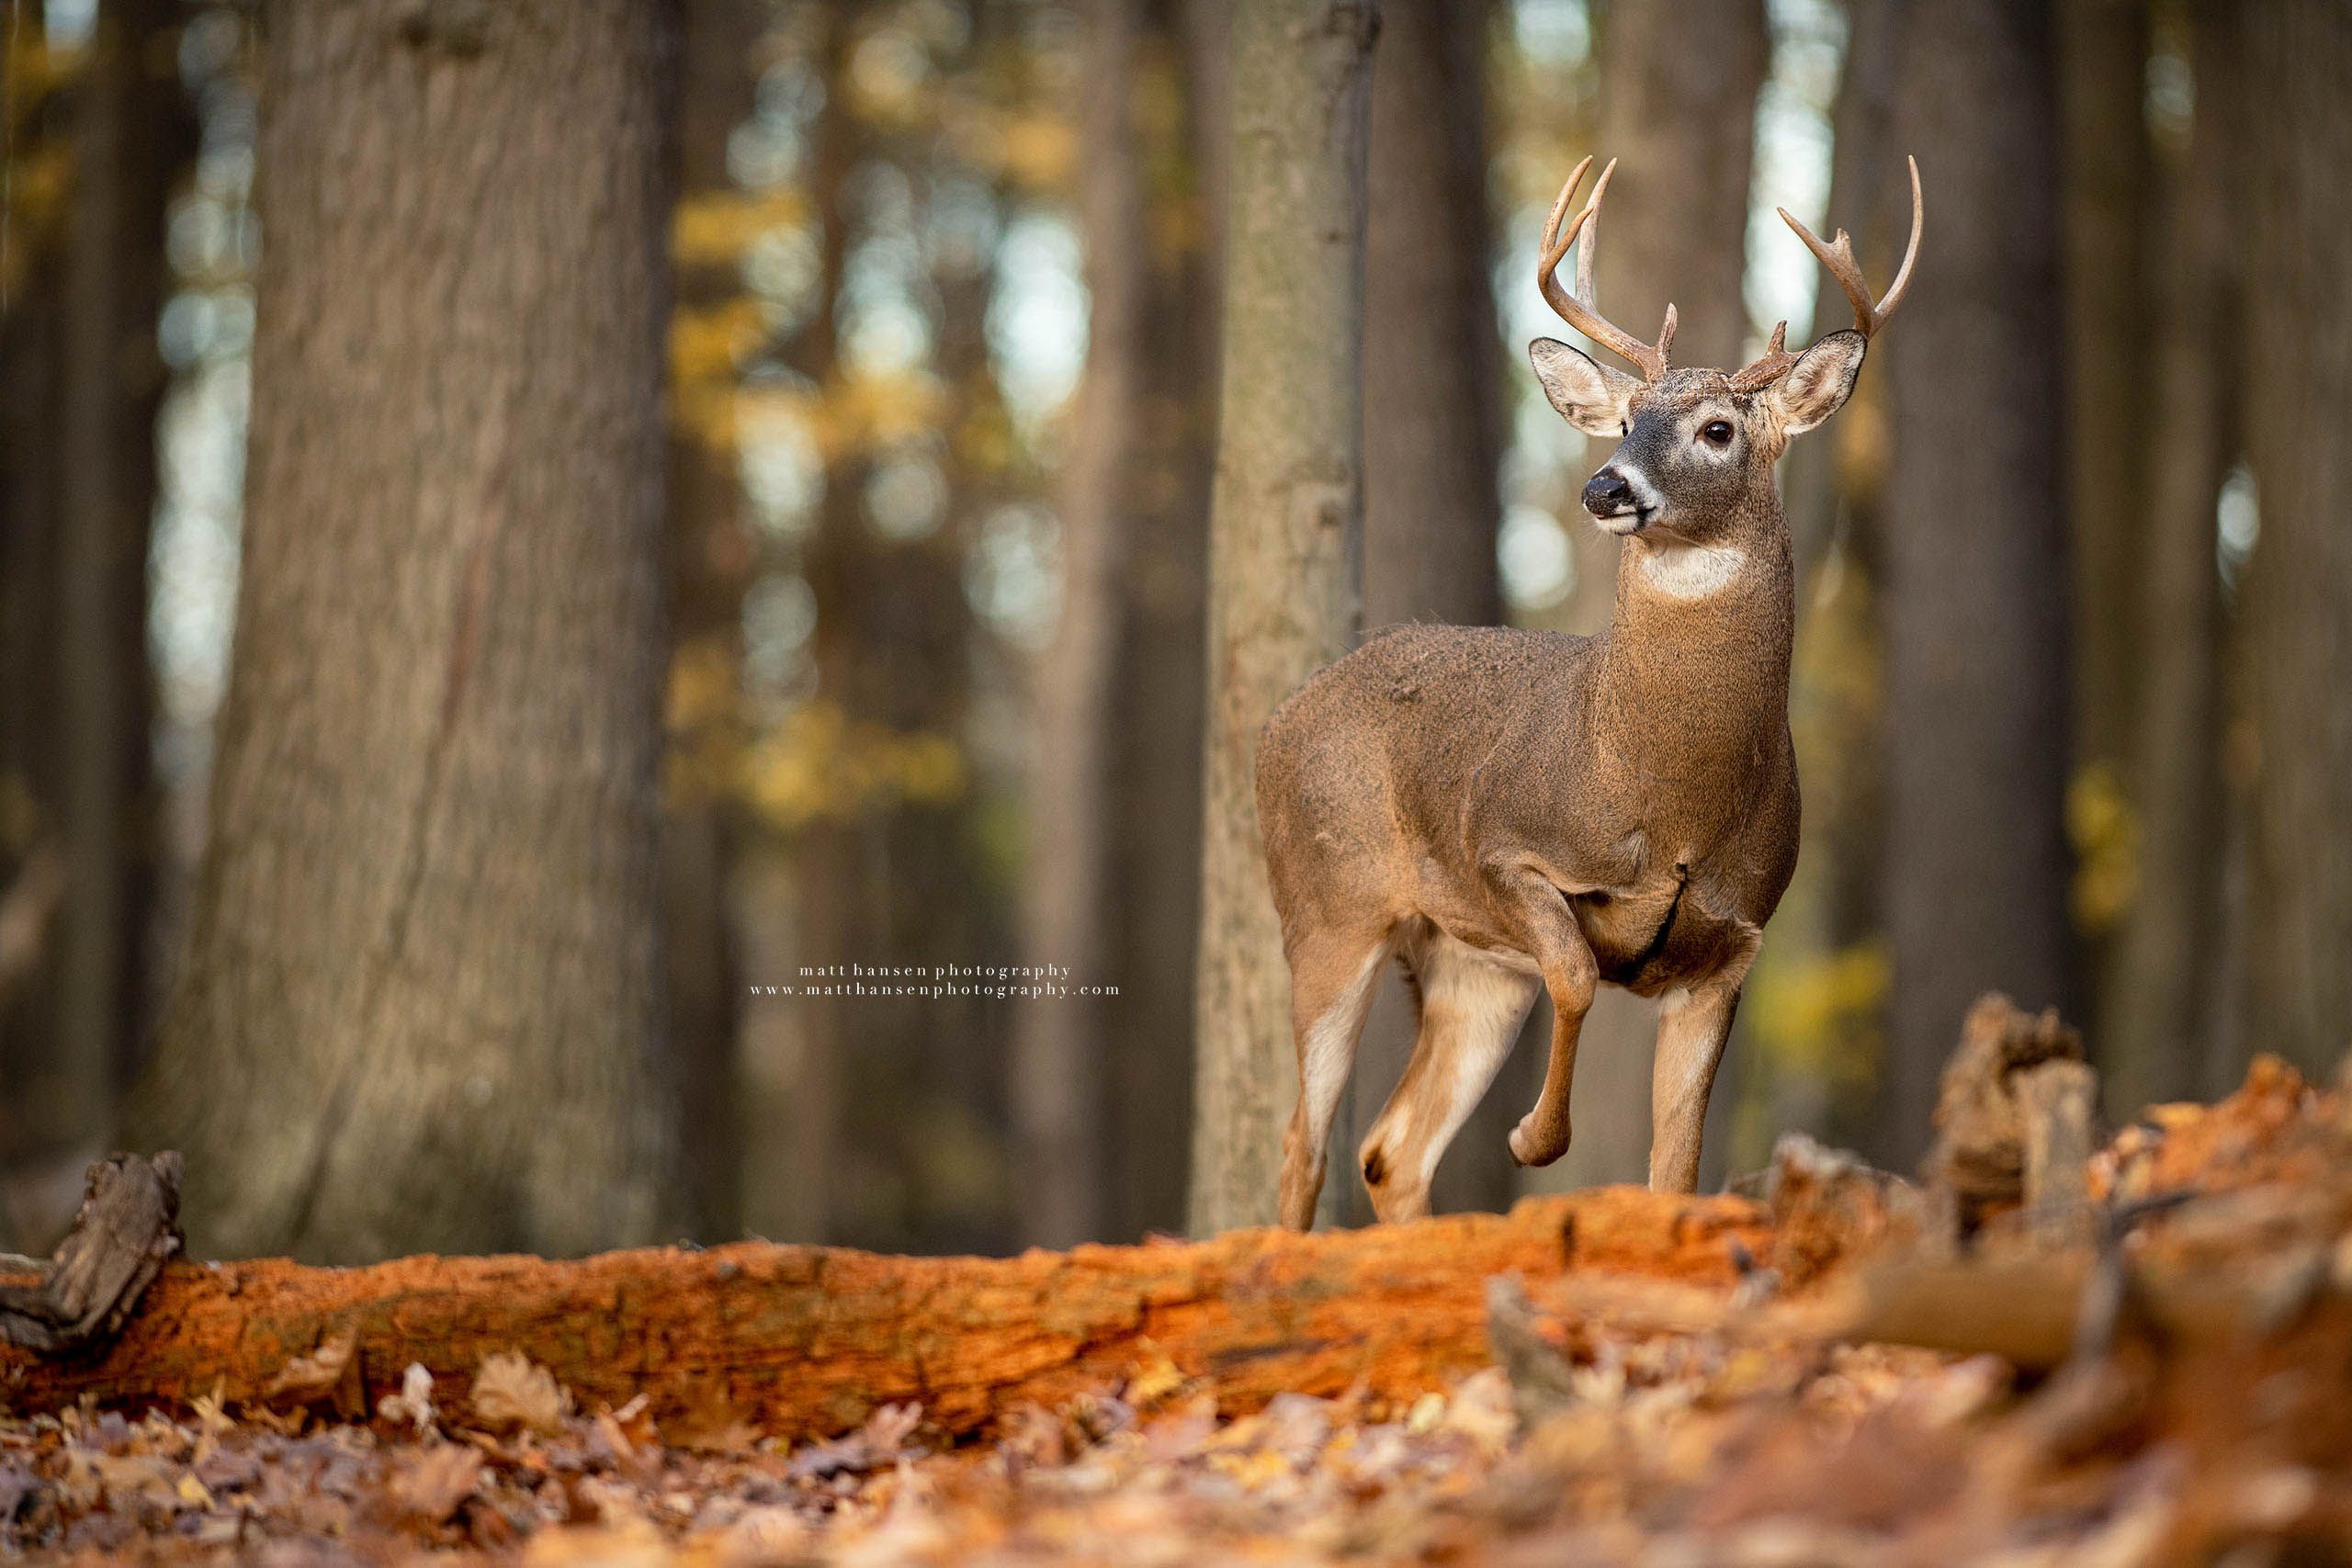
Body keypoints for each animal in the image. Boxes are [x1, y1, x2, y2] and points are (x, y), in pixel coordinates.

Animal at [1258, 154, 1923, 1230]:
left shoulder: (1733, 946)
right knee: (1302, 1142)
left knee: (1388, 1149)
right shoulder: (1505, 850)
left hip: (1469, 965)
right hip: (1328, 905)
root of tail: (1274, 728)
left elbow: (1676, 1164)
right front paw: (1535, 1137)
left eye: (1717, 428)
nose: (1605, 487)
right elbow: (1574, 974)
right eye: (1622, 420)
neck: (1667, 795)